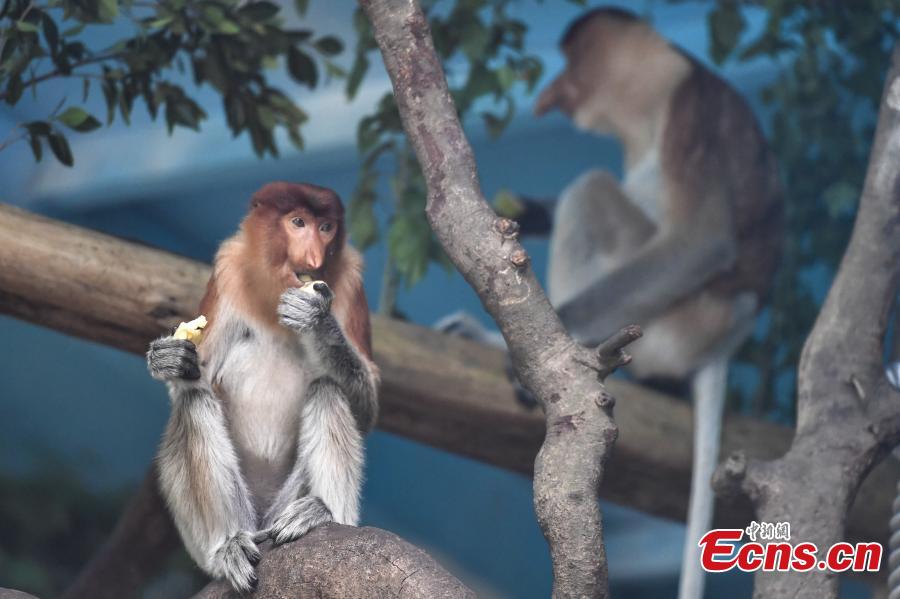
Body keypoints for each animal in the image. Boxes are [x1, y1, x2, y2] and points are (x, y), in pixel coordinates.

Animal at [146, 182, 379, 592]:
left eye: (326, 228)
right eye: (298, 222)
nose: (314, 257)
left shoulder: (351, 280)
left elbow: (366, 408)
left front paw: (316, 316)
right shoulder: (228, 269)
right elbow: (194, 380)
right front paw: (169, 358)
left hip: (282, 507)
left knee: (327, 389)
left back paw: (322, 512)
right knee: (194, 402)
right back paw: (228, 548)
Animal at [533, 9, 782, 599]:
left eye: (574, 58)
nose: (554, 89)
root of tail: (723, 344)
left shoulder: (693, 111)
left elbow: (701, 243)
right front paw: (530, 210)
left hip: (677, 322)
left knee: (590, 190)